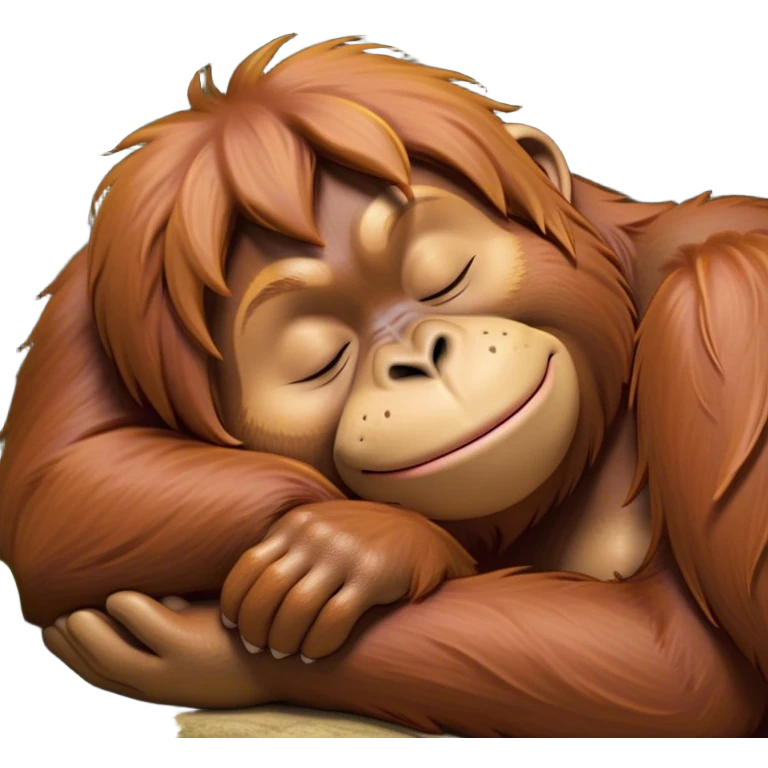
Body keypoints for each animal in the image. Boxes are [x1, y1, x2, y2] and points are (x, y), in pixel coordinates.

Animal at [1, 33, 766, 738]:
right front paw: (387, 540)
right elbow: (54, 490)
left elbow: (681, 673)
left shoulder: (730, 304)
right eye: (319, 359)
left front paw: (361, 549)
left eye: (445, 274)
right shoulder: (88, 293)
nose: (421, 359)